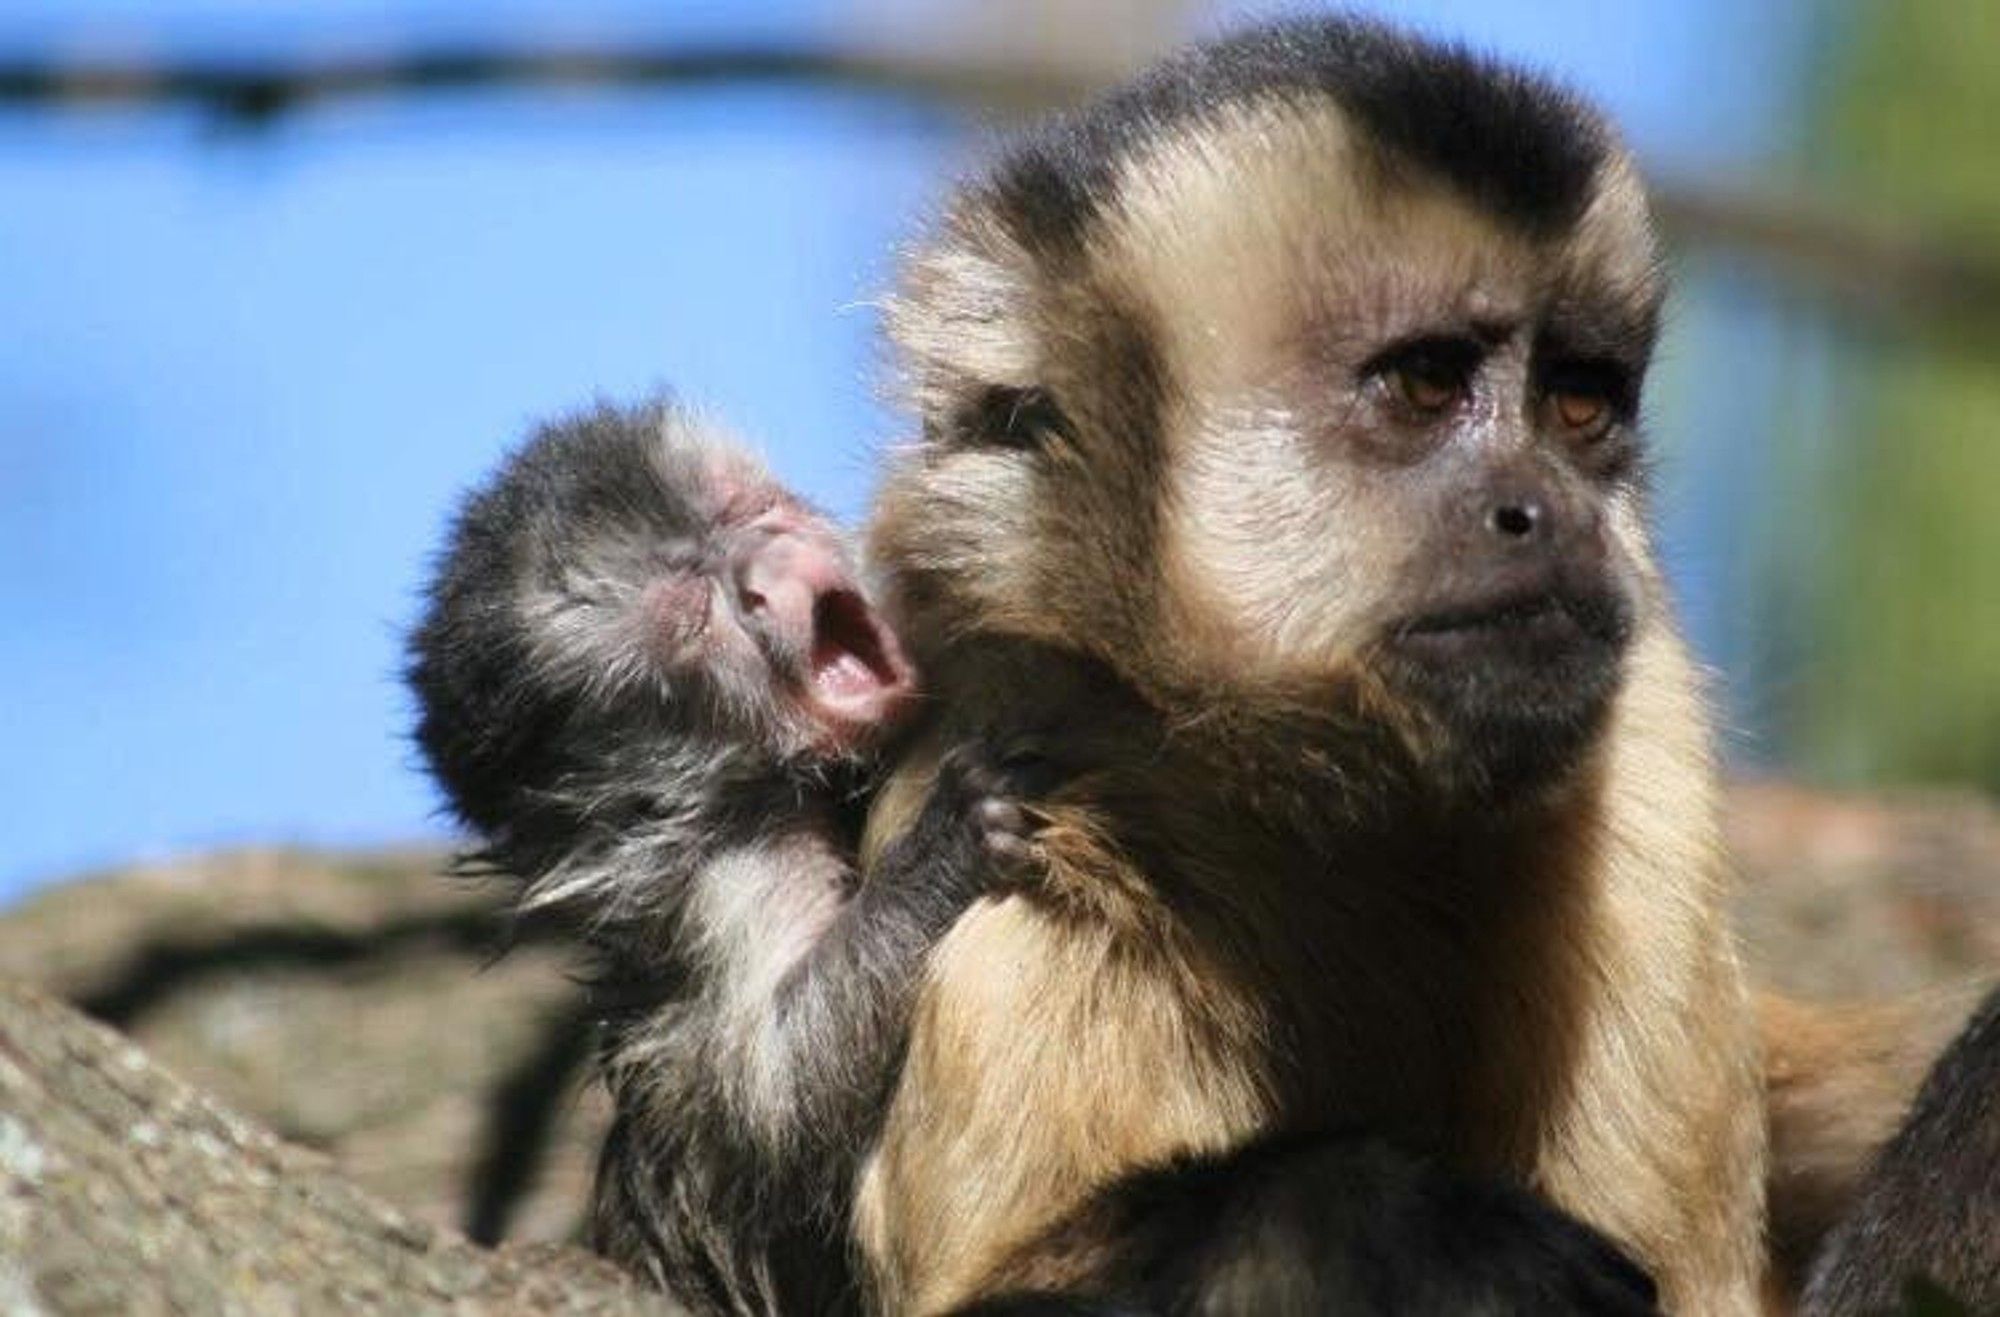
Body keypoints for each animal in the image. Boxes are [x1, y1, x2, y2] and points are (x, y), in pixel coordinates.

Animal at [405, 399, 1055, 1315]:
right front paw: (945, 846)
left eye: (744, 515)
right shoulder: (734, 869)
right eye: (695, 612)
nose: (754, 571)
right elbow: (772, 1105)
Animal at [843, 15, 1771, 1314]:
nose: (1546, 511)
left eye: (1577, 406)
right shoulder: (1027, 764)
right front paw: (1399, 1222)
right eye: (1425, 383)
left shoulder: (1647, 767)